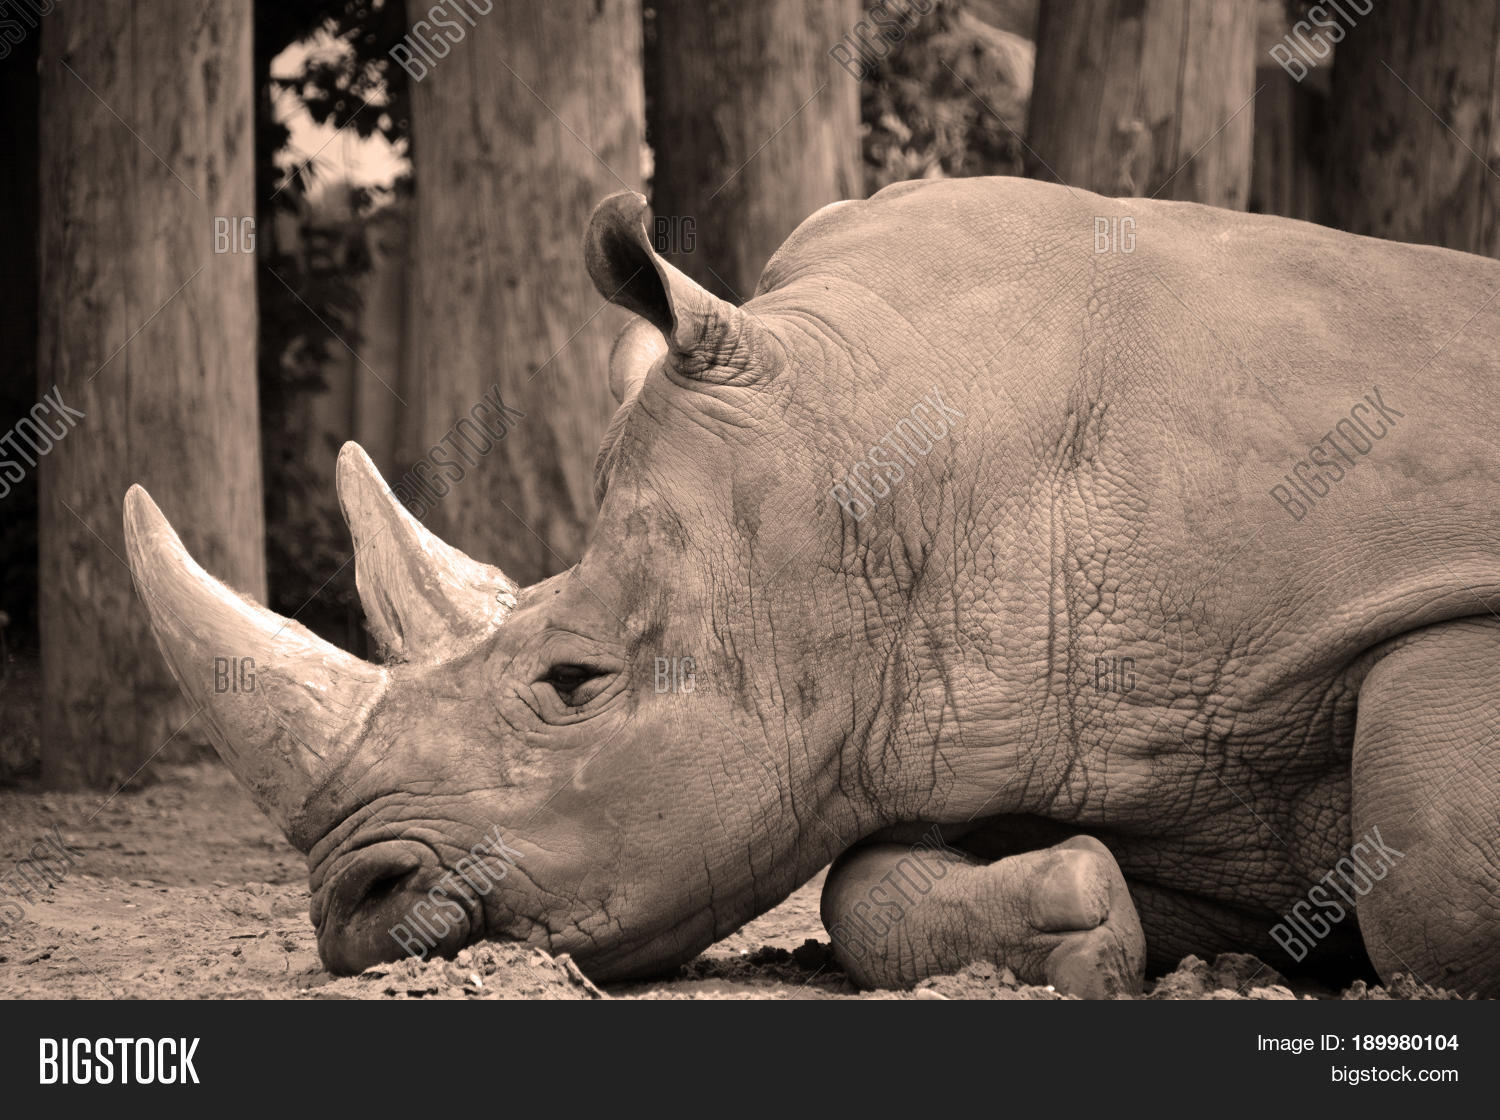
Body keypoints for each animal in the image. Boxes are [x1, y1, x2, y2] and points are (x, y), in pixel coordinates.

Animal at [123, 176, 1500, 997]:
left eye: (574, 679)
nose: (351, 905)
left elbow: (1438, 873)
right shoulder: (1021, 702)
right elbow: (867, 889)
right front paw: (1099, 928)